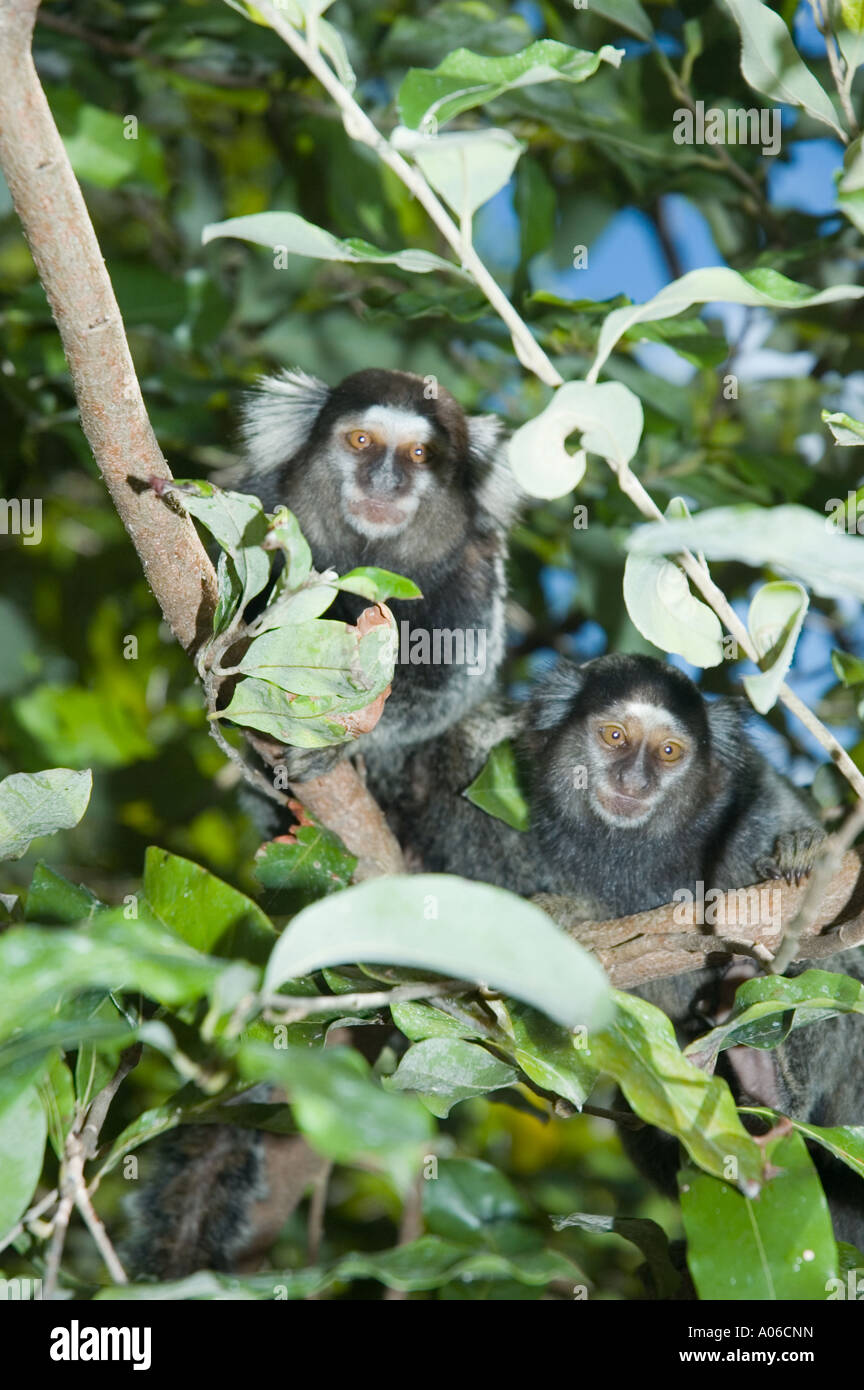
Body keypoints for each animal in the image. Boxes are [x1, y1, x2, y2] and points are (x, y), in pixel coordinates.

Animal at [237, 367, 520, 783]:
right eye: (361, 440)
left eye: (420, 453)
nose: (385, 482)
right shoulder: (267, 508)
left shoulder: (474, 577)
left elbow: (446, 691)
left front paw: (336, 737)